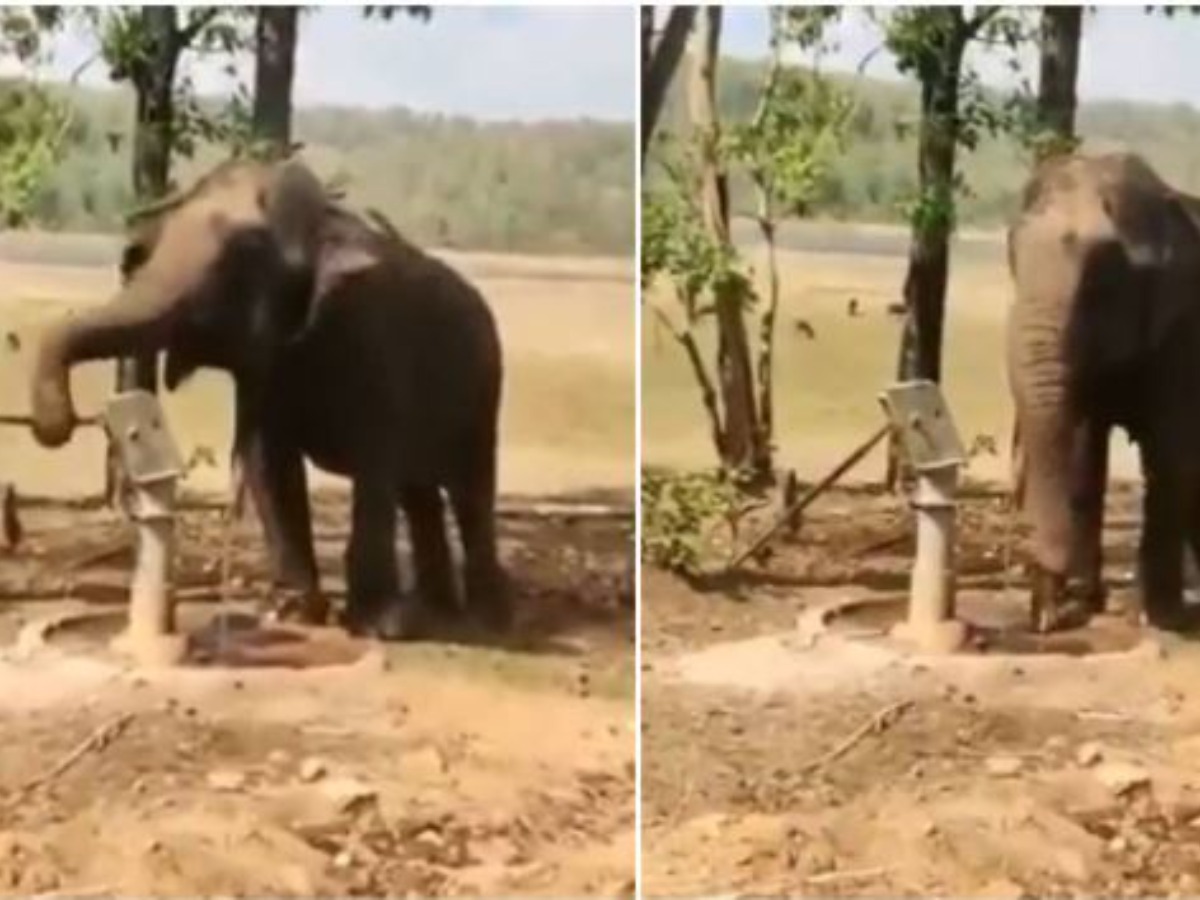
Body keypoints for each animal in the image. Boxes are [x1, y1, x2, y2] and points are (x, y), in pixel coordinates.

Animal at [28, 156, 509, 641]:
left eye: (242, 255)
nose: (61, 422)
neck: (325, 221)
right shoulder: (266, 372)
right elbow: (267, 459)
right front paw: (295, 614)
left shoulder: (375, 344)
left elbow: (373, 464)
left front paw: (377, 624)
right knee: (420, 494)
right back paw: (438, 610)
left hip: (483, 390)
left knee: (468, 489)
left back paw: (484, 617)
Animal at [1007, 151, 1200, 634]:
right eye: (1012, 258)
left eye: (1097, 283)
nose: (1041, 617)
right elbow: (1082, 450)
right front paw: (1084, 602)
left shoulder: (1186, 328)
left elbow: (1170, 453)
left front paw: (1155, 616)